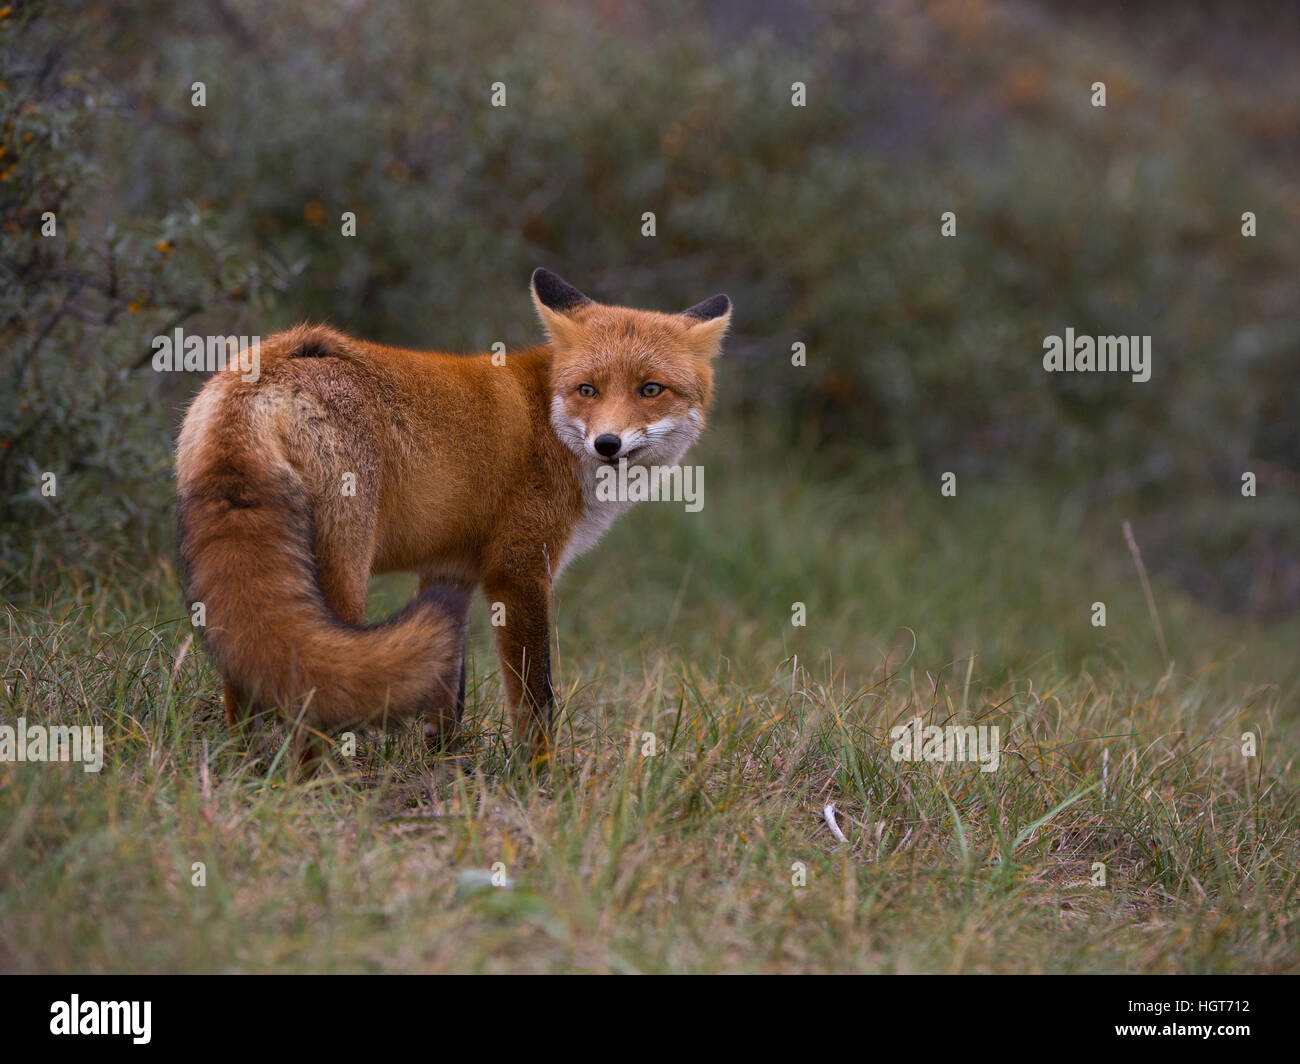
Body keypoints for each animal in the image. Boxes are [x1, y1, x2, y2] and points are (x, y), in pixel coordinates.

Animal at [175, 269, 731, 763]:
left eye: (650, 389)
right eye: (587, 390)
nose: (608, 443)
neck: (548, 422)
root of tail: (267, 364)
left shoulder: (450, 573)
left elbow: (447, 700)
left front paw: (444, 766)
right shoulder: (518, 570)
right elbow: (536, 699)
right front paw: (539, 777)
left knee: (244, 674)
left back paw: (246, 769)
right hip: (344, 578)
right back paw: (320, 784)